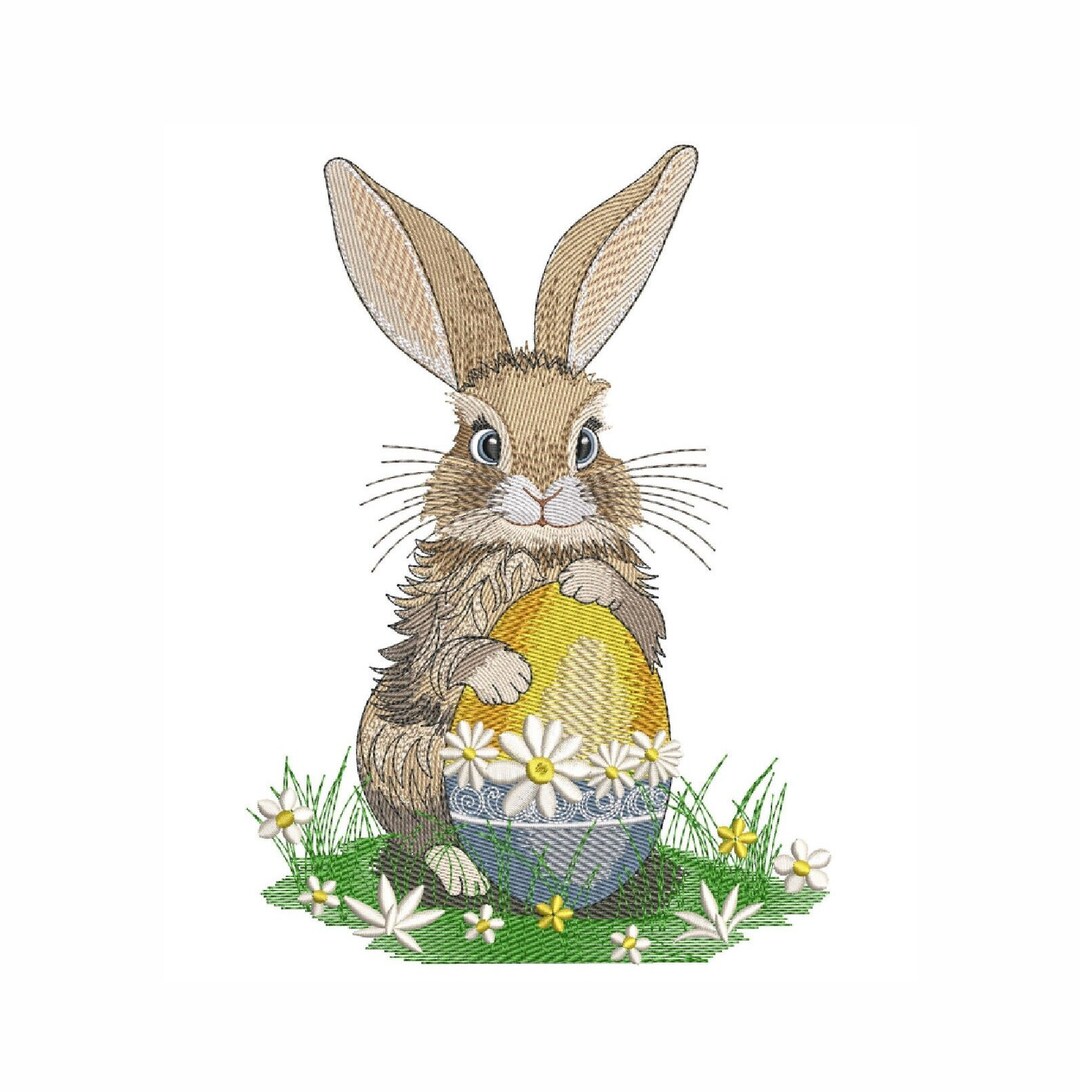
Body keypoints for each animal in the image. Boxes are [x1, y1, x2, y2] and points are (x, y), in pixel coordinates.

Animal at [325, 146, 699, 896]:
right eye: (486, 442)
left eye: (587, 441)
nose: (547, 494)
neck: (537, 551)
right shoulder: (443, 612)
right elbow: (445, 658)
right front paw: (504, 675)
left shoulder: (638, 608)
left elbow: (644, 619)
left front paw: (586, 584)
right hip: (393, 753)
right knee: (420, 832)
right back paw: (463, 873)